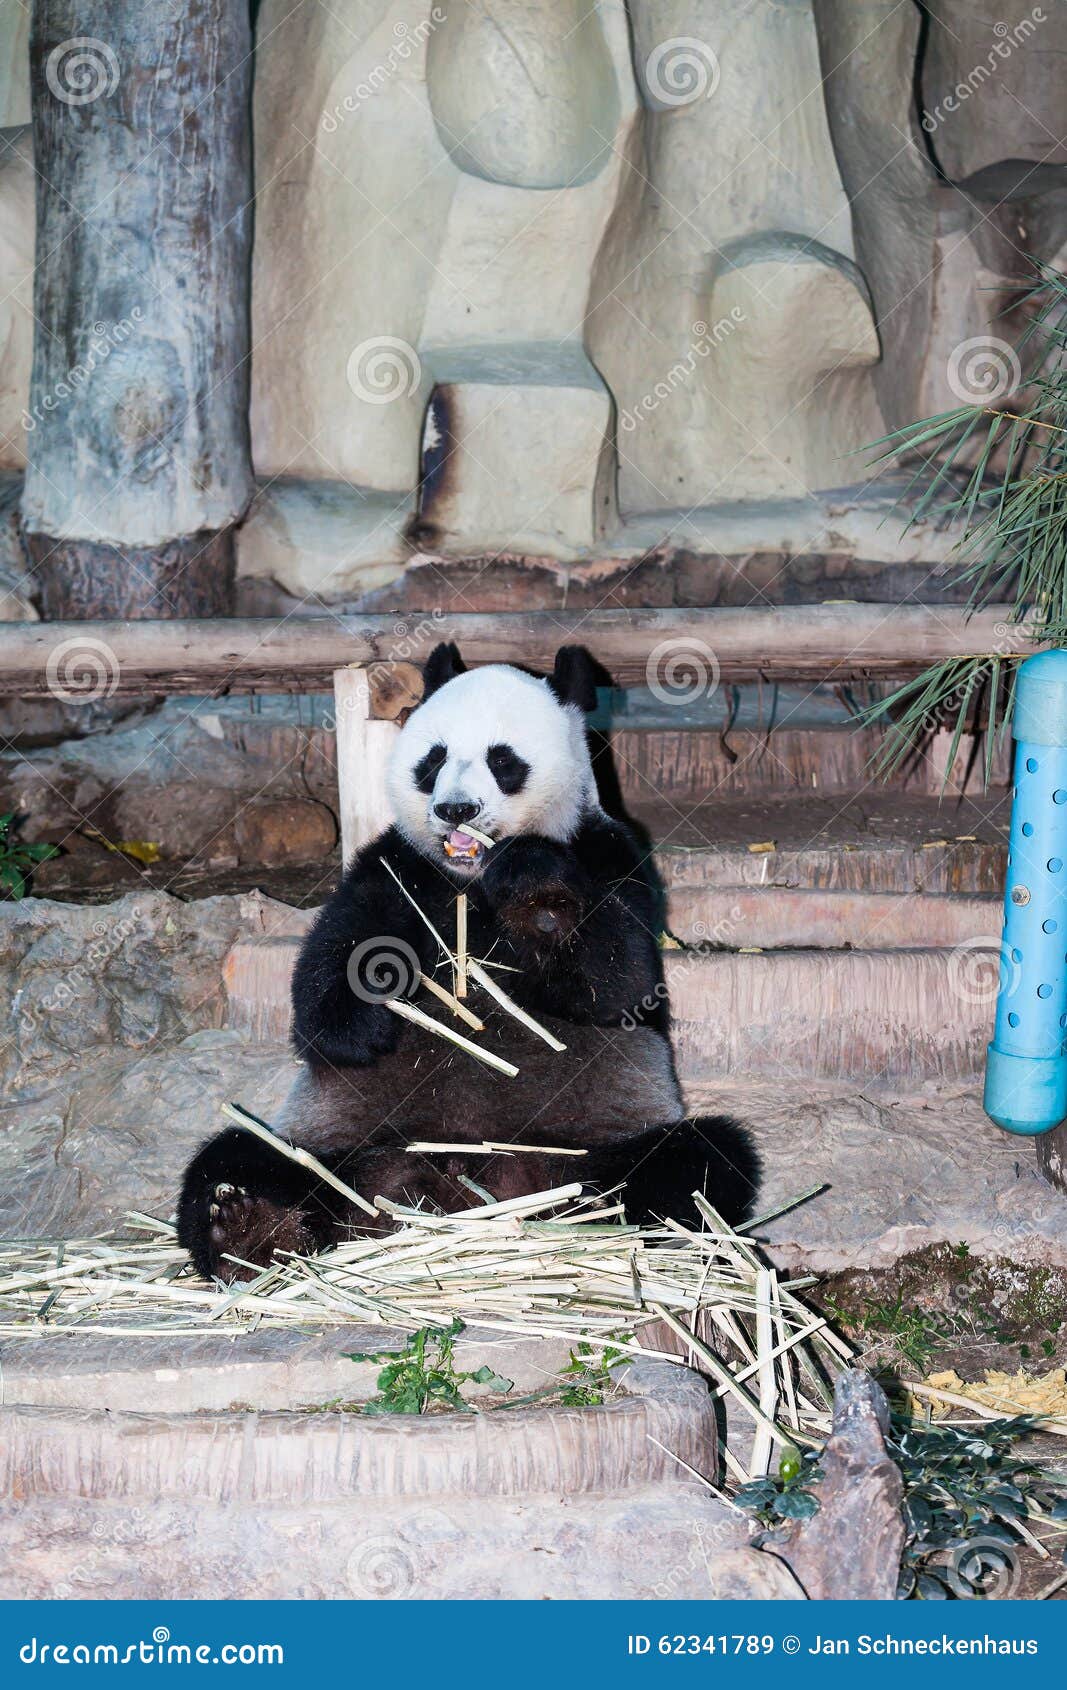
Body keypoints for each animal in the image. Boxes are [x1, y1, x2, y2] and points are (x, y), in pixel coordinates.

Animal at [178, 642, 759, 1281]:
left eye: (503, 760)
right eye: (432, 760)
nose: (457, 809)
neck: (471, 881)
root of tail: (462, 1200)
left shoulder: (607, 855)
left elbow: (620, 983)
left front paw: (541, 899)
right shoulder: (394, 868)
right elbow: (321, 1003)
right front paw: (371, 1017)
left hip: (590, 1145)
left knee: (694, 1162)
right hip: (344, 1145)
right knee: (241, 1159)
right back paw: (253, 1231)